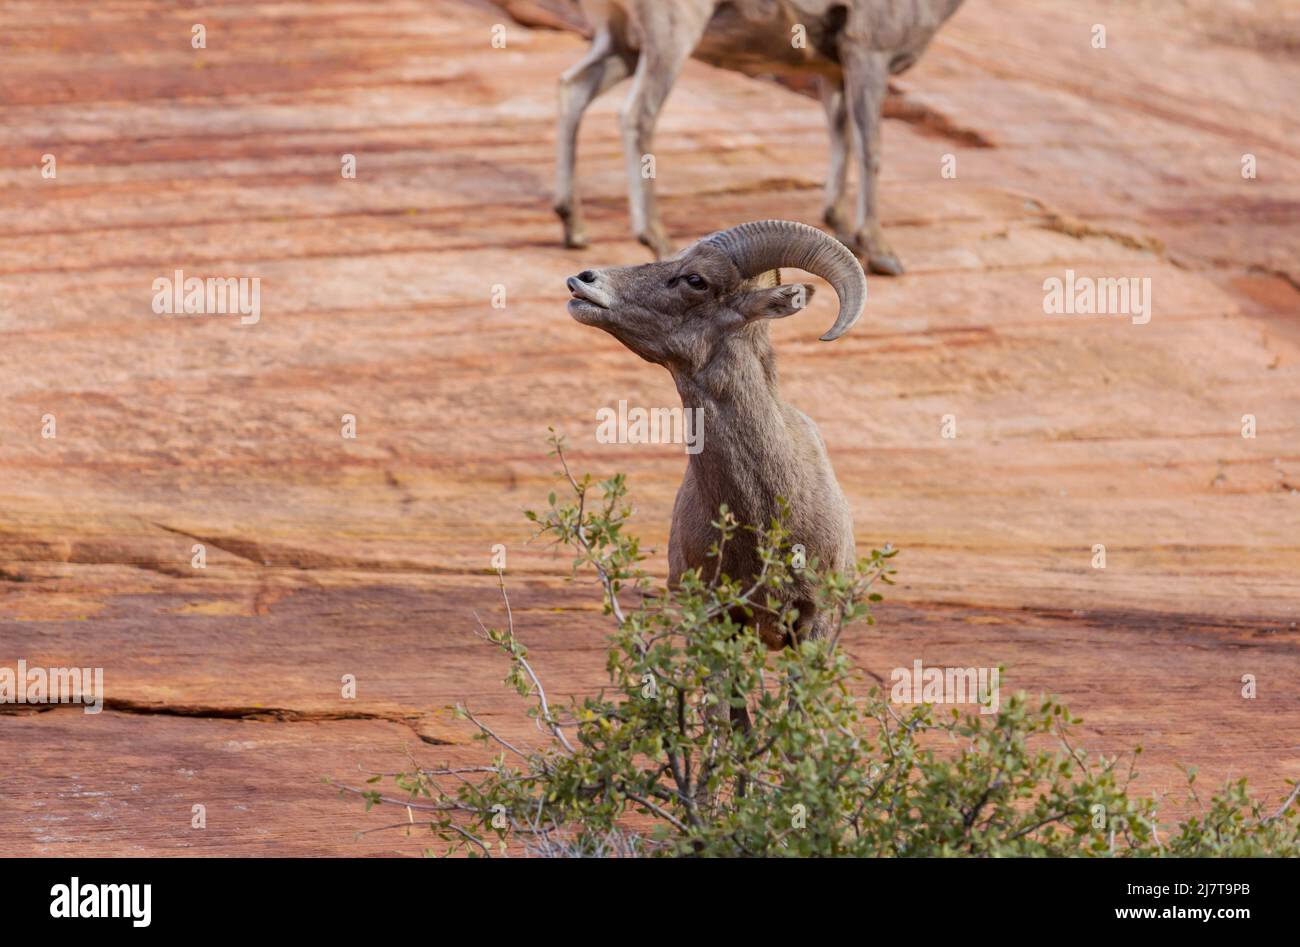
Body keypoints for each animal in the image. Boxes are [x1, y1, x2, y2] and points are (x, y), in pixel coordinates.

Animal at [555, 0, 965, 276]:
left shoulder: (833, 71)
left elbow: (842, 138)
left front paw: (845, 234)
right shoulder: (868, 54)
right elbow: (871, 150)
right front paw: (882, 253)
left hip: (623, 42)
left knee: (572, 90)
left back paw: (574, 227)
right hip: (669, 36)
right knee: (637, 115)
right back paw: (659, 241)